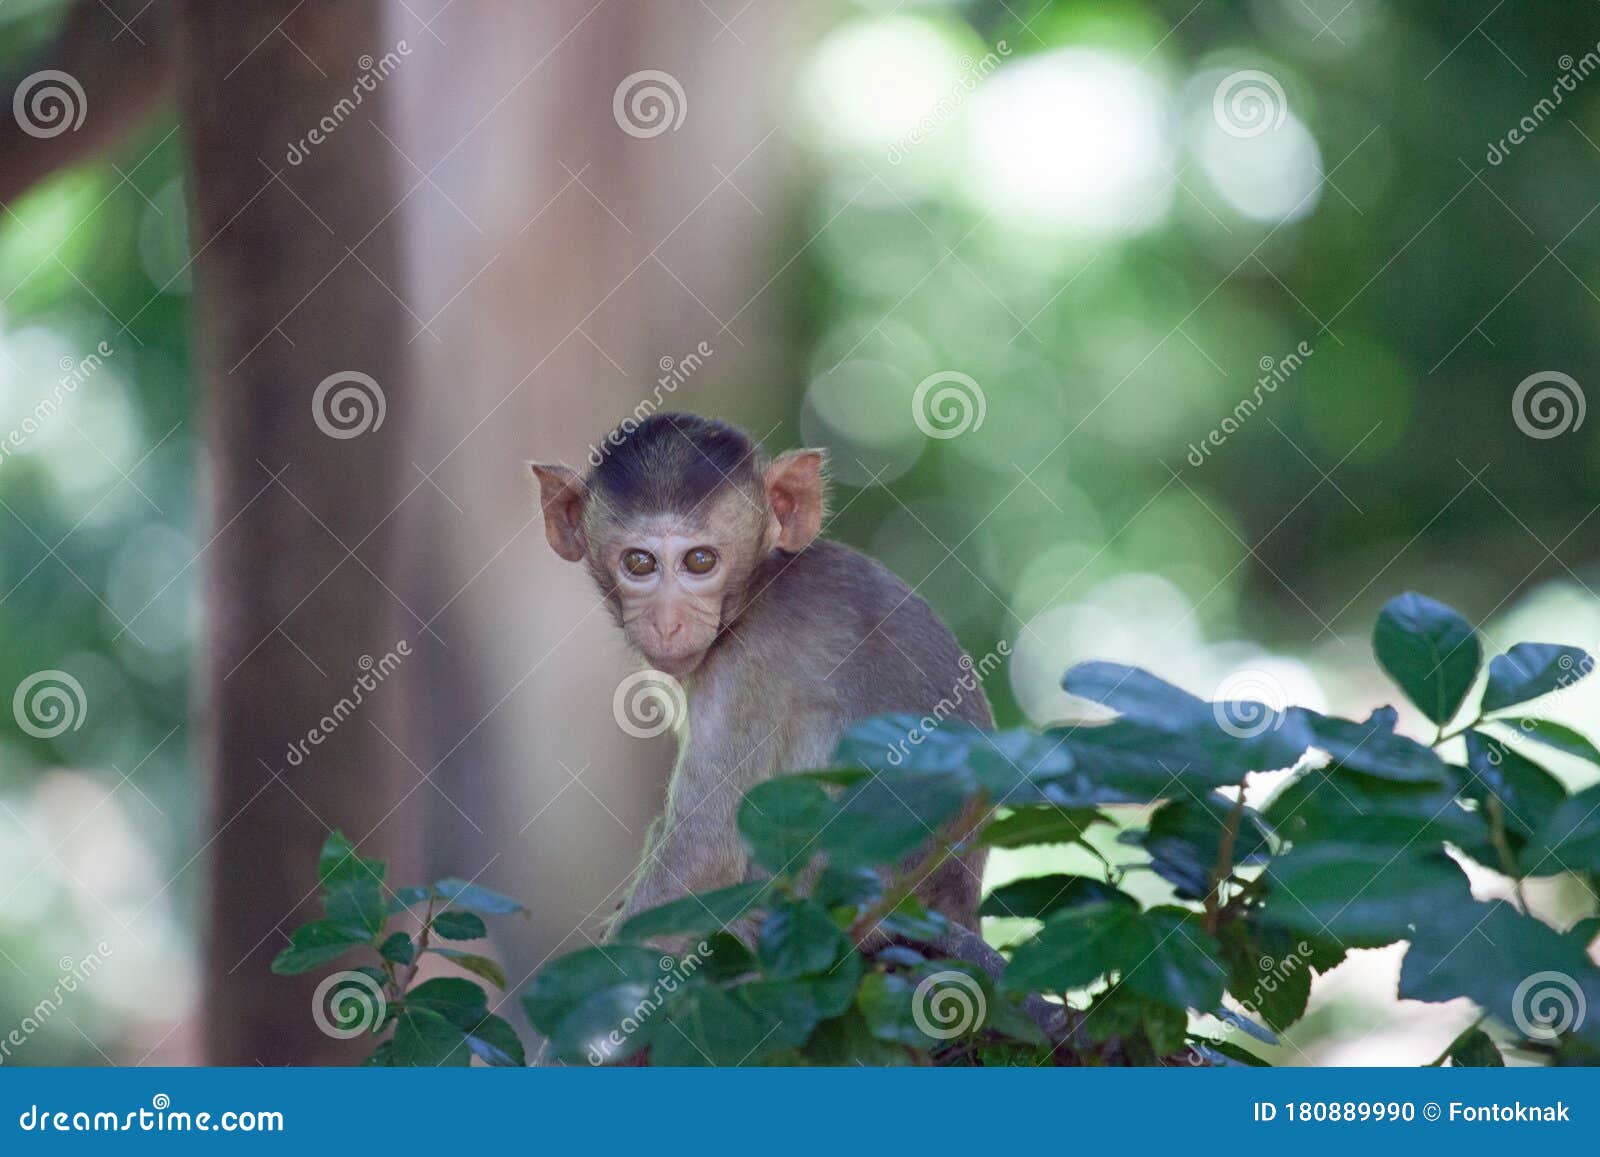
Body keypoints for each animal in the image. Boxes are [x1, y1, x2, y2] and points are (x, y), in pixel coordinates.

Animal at [529, 412, 995, 951]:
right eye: (639, 563)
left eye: (700, 561)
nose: (667, 623)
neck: (757, 586)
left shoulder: (745, 666)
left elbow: (703, 850)